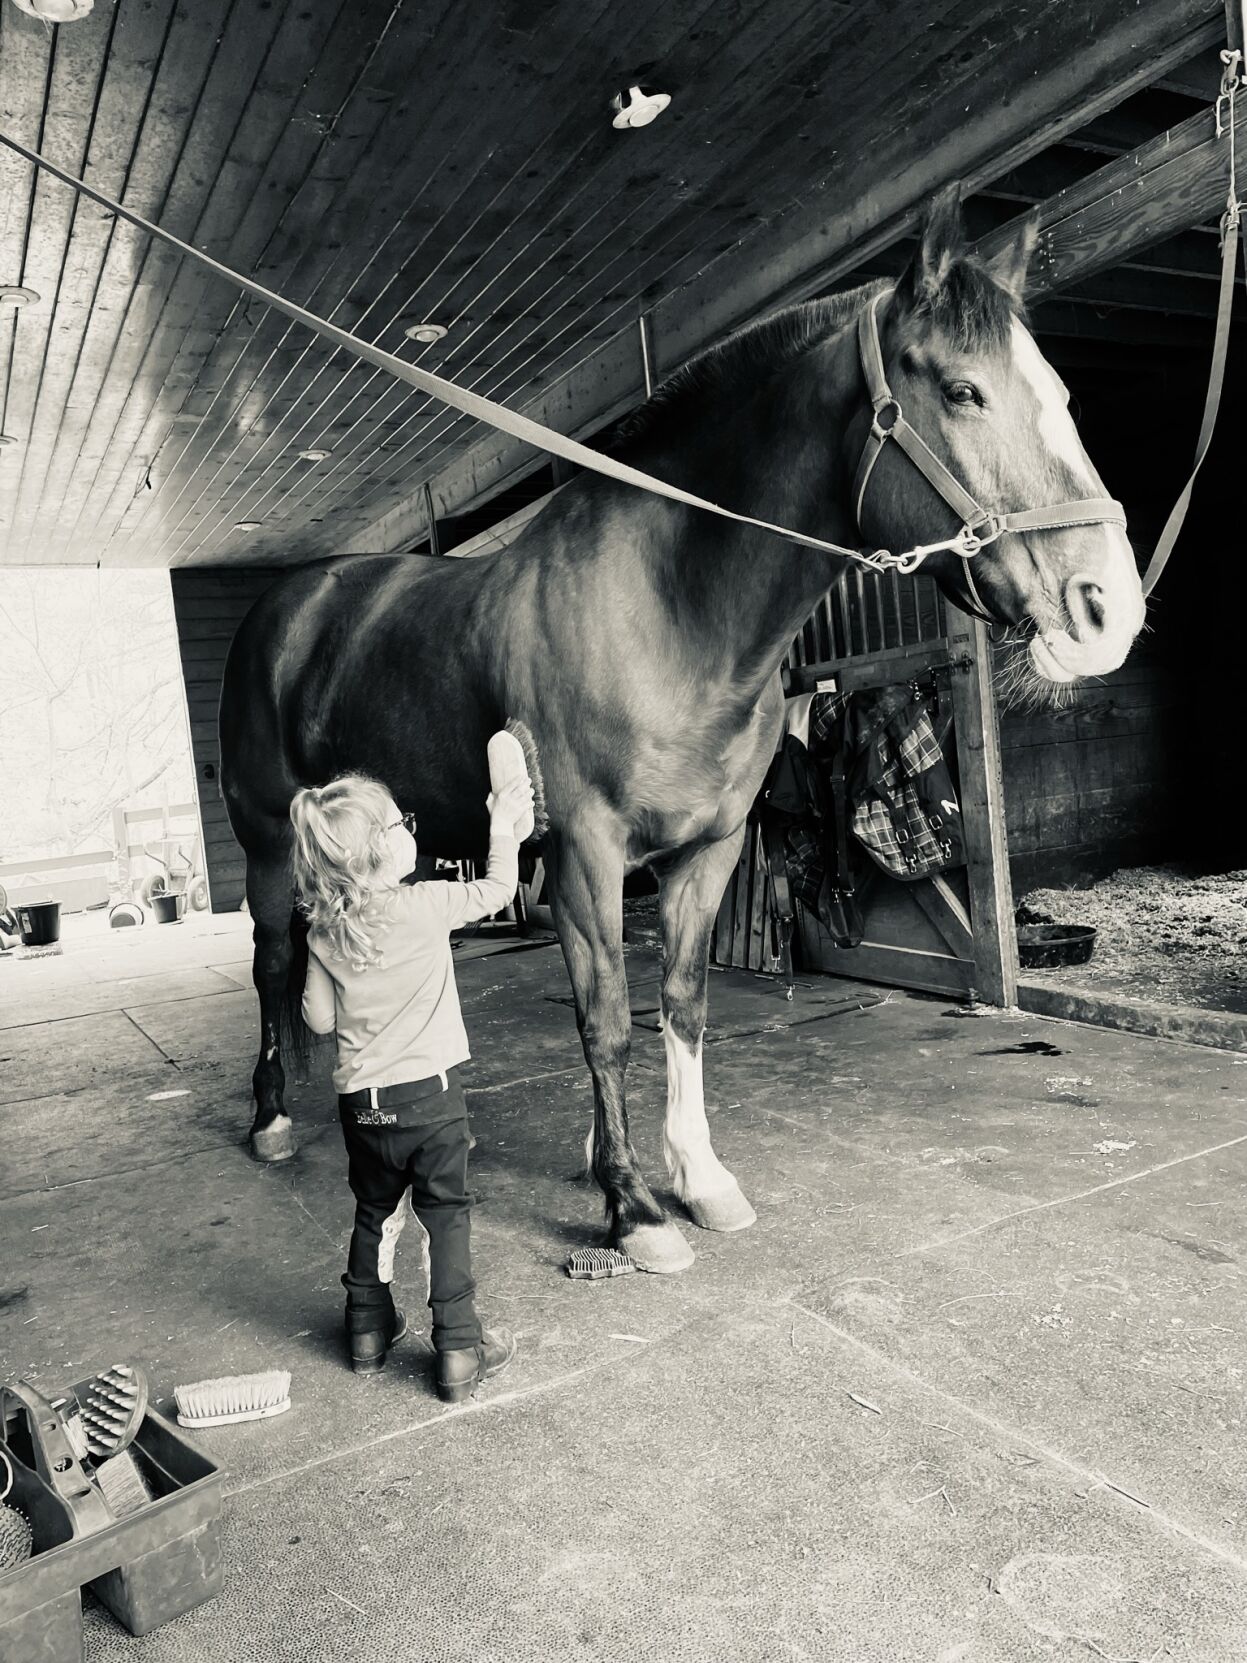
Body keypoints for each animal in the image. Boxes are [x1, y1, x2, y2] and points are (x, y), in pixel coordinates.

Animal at [218, 189, 1145, 1273]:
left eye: (1060, 394)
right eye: (962, 392)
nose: (1106, 609)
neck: (667, 609)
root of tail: (291, 605)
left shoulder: (707, 849)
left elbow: (683, 1004)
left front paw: (694, 1175)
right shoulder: (585, 855)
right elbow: (606, 1018)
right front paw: (631, 1203)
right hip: (268, 845)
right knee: (271, 963)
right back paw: (273, 1116)